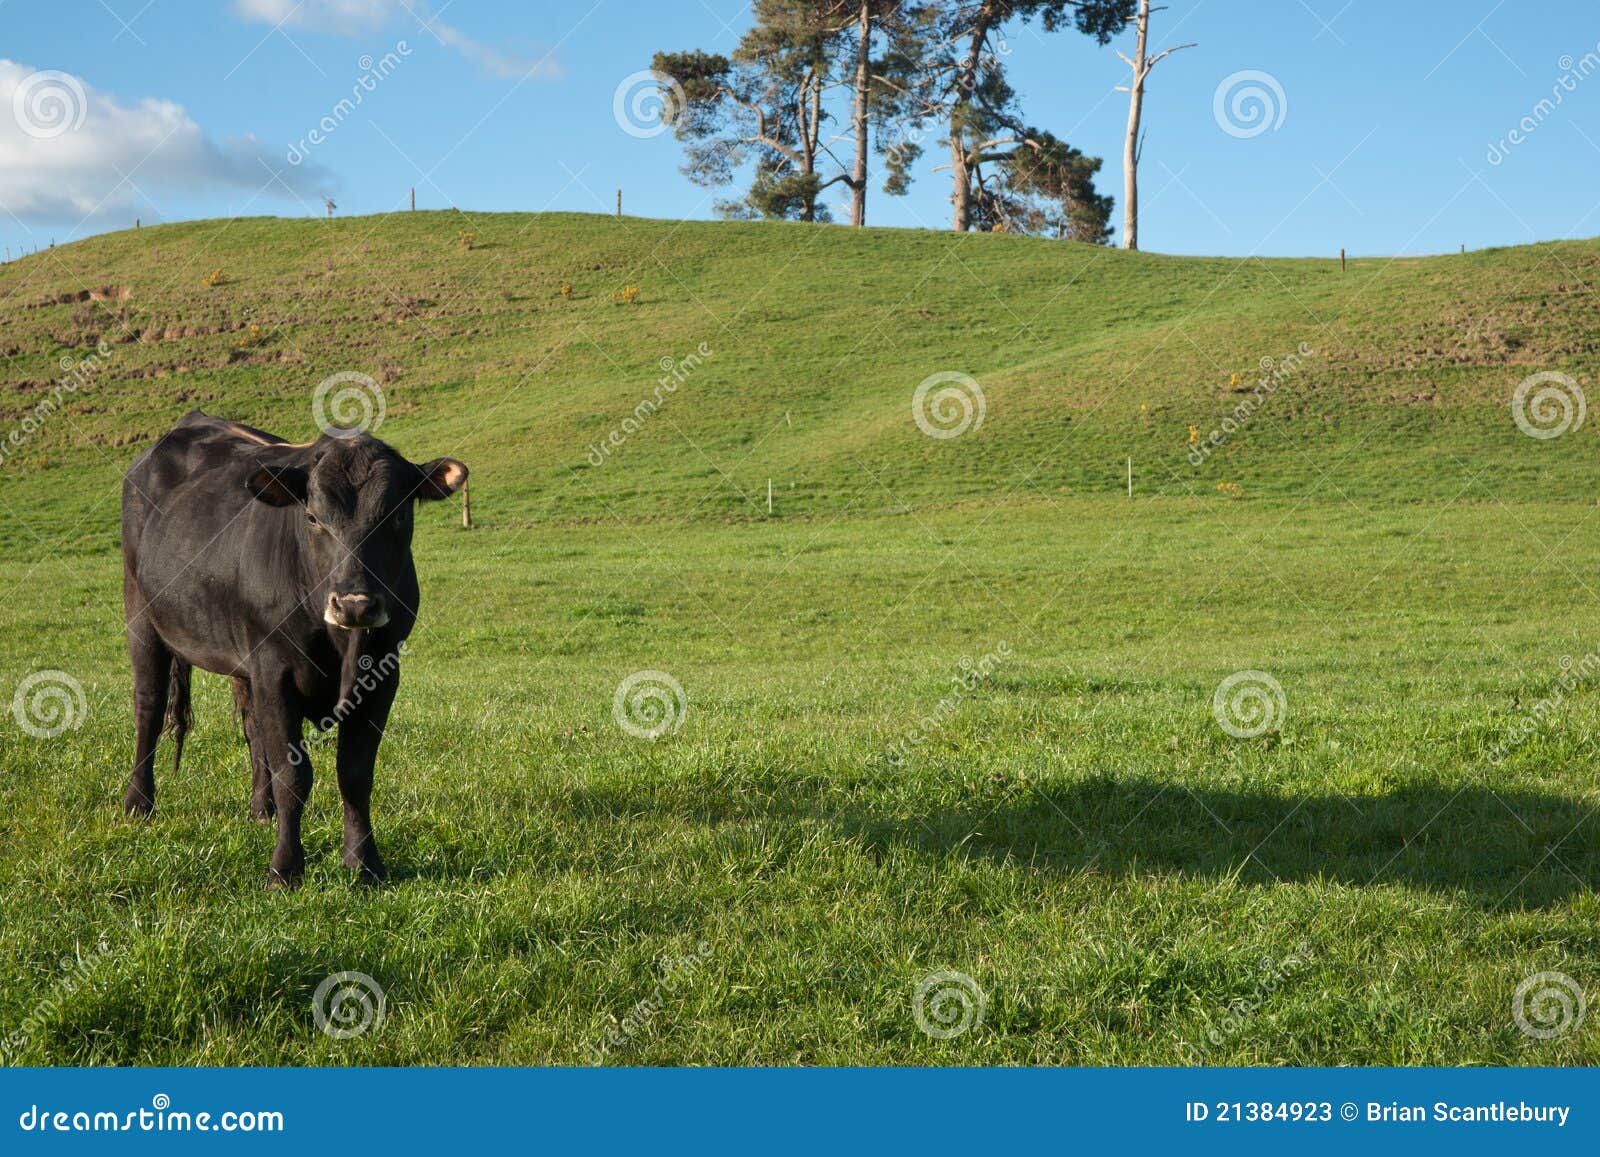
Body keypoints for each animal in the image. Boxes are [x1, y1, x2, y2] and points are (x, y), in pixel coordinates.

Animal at [120, 409, 467, 888]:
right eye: (313, 517)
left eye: (398, 516)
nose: (355, 603)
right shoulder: (275, 670)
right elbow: (293, 775)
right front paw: (285, 868)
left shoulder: (383, 673)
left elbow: (355, 772)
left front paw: (364, 864)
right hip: (142, 616)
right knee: (149, 707)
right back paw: (139, 804)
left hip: (241, 660)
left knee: (251, 728)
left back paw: (261, 809)